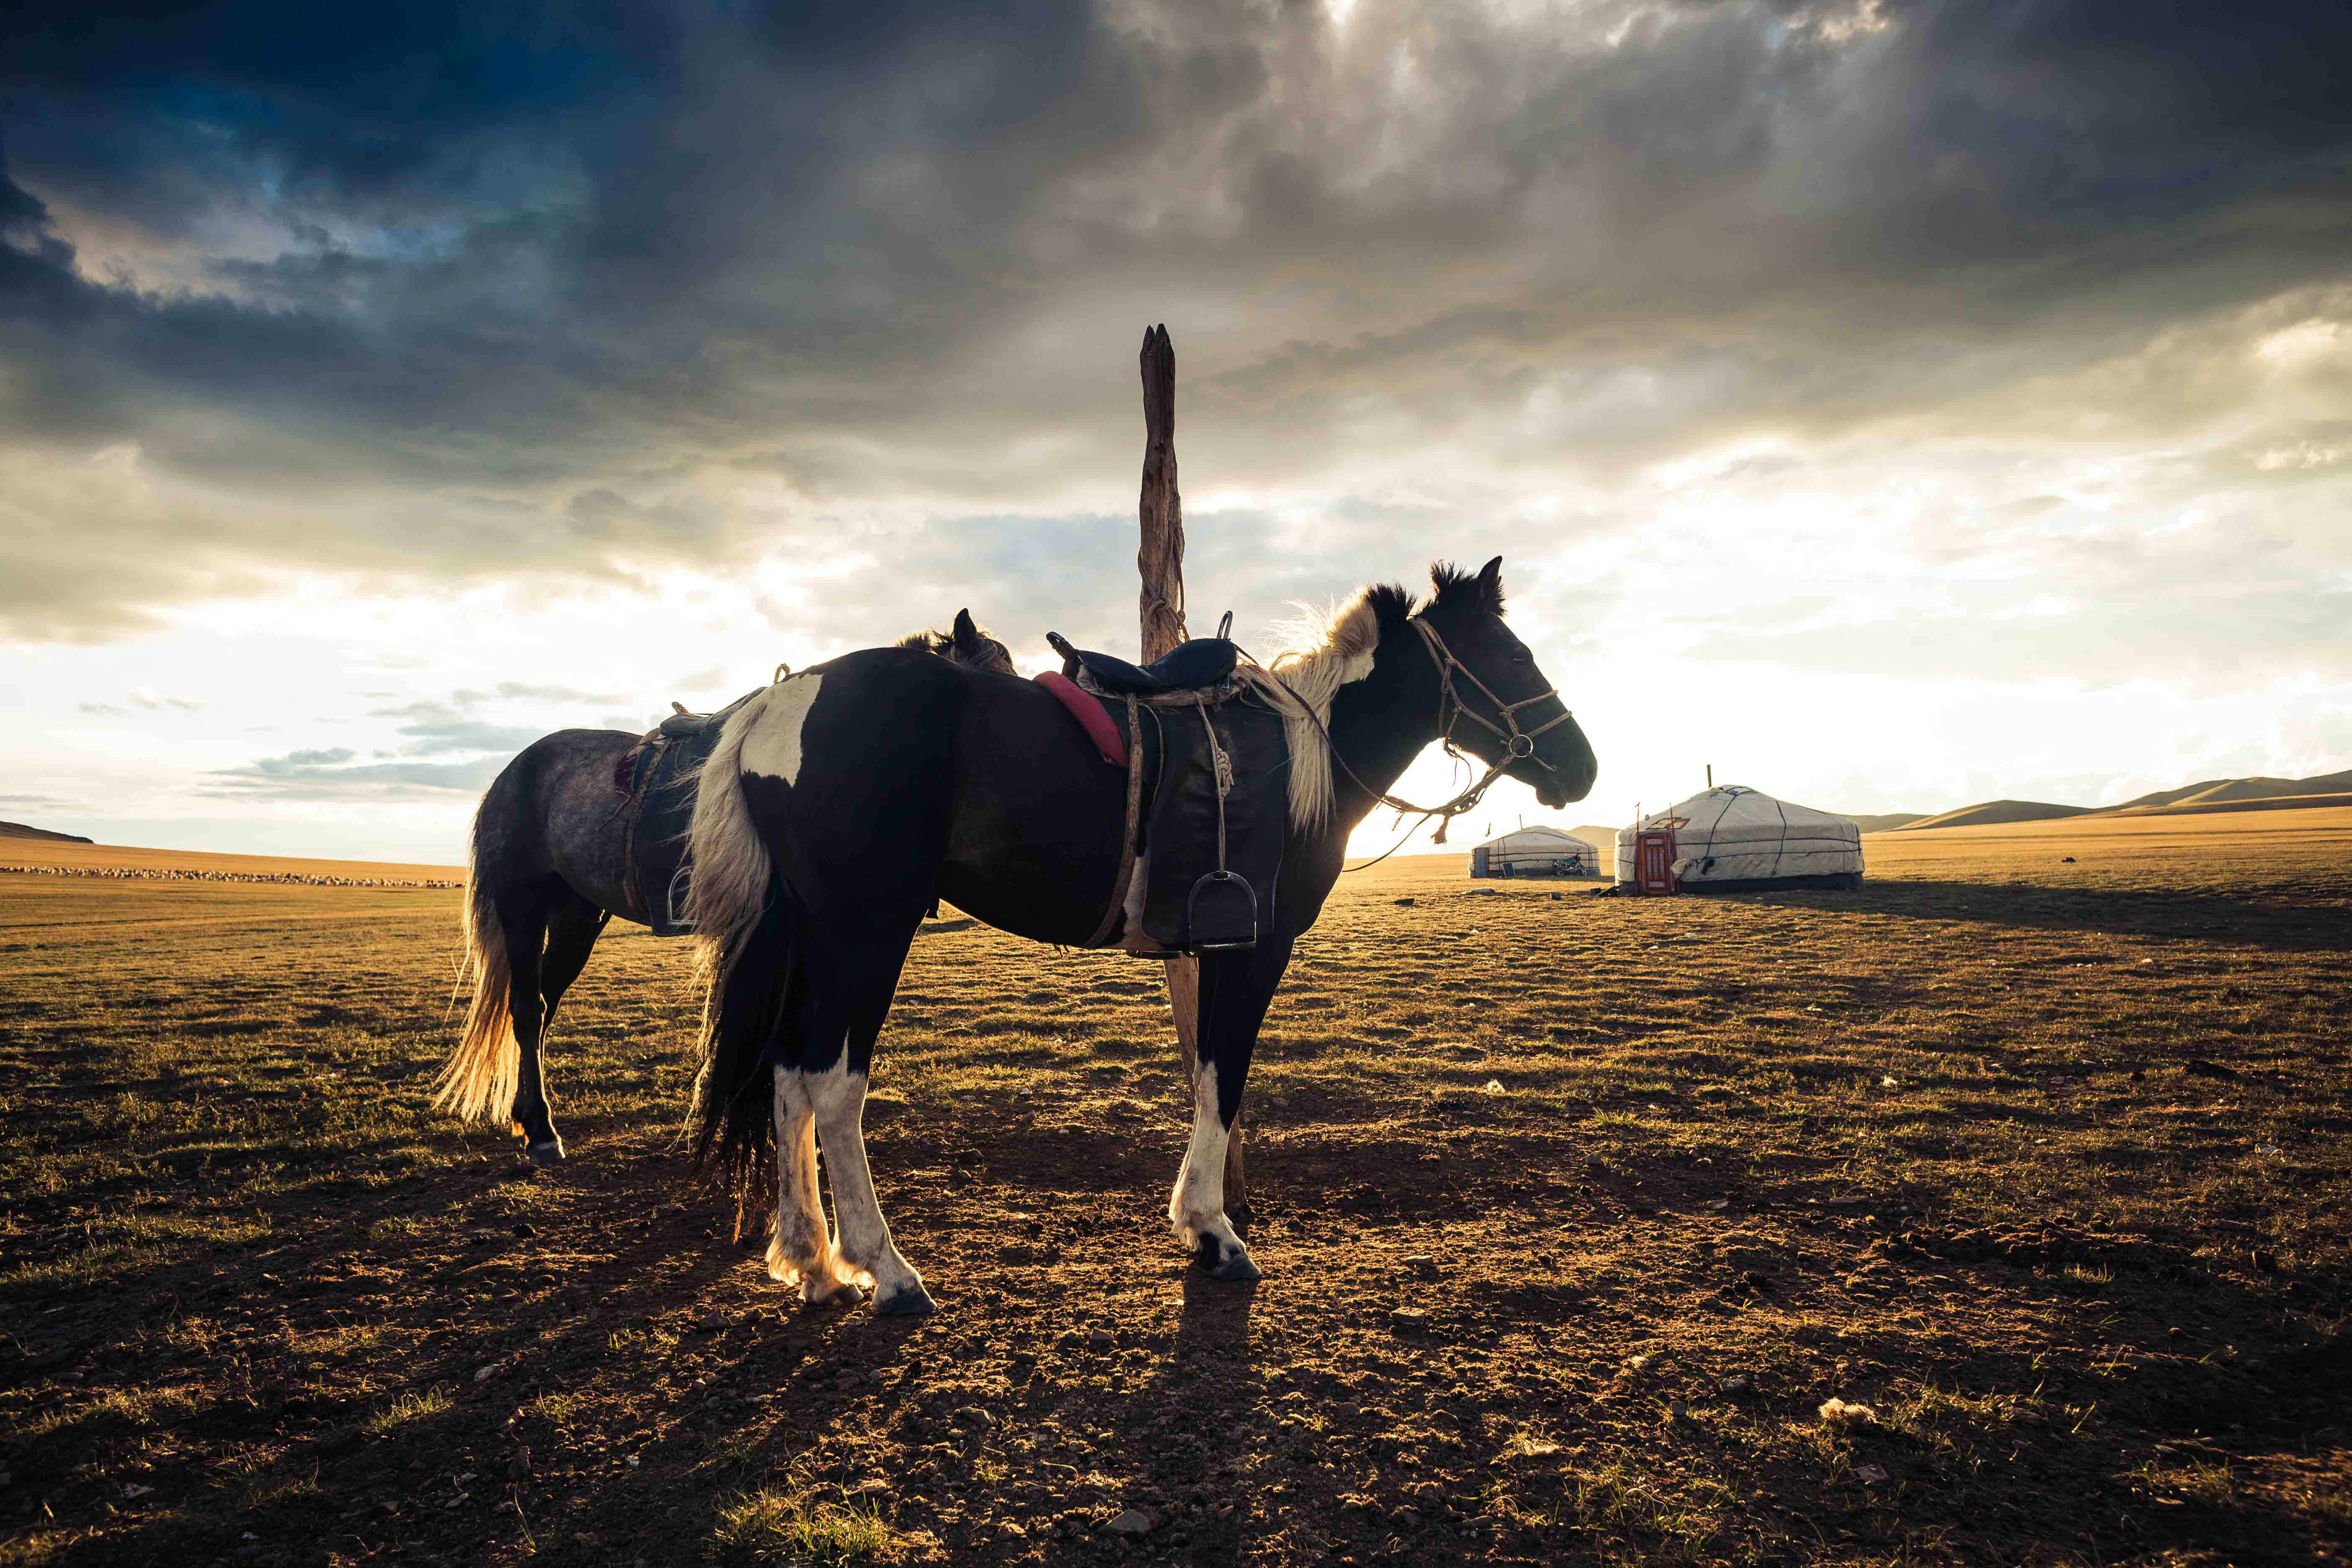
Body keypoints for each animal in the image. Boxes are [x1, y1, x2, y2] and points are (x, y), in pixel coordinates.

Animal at [436, 611, 1016, 1163]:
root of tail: (514, 772)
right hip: (522, 906)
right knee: (526, 1008)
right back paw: (539, 1131)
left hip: (577, 917)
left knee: (541, 1005)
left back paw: (527, 1117)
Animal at [684, 557, 1596, 1314]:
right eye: (1513, 657)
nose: (1582, 766)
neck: (1305, 756)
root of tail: (777, 703)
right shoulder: (1255, 949)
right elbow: (1224, 1078)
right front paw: (1212, 1231)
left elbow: (1206, 1076)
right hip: (866, 934)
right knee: (833, 1087)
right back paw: (886, 1268)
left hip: (816, 938)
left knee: (787, 1079)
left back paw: (810, 1260)